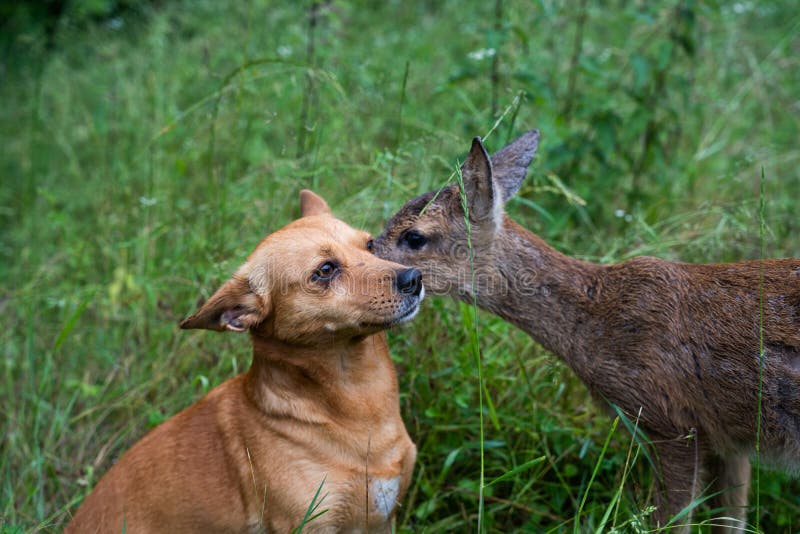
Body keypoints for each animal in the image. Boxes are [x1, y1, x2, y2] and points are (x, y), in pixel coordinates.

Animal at [372, 129, 800, 532]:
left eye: (414, 236)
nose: (366, 250)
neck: (596, 322)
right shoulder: (732, 440)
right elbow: (732, 521)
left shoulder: (672, 423)